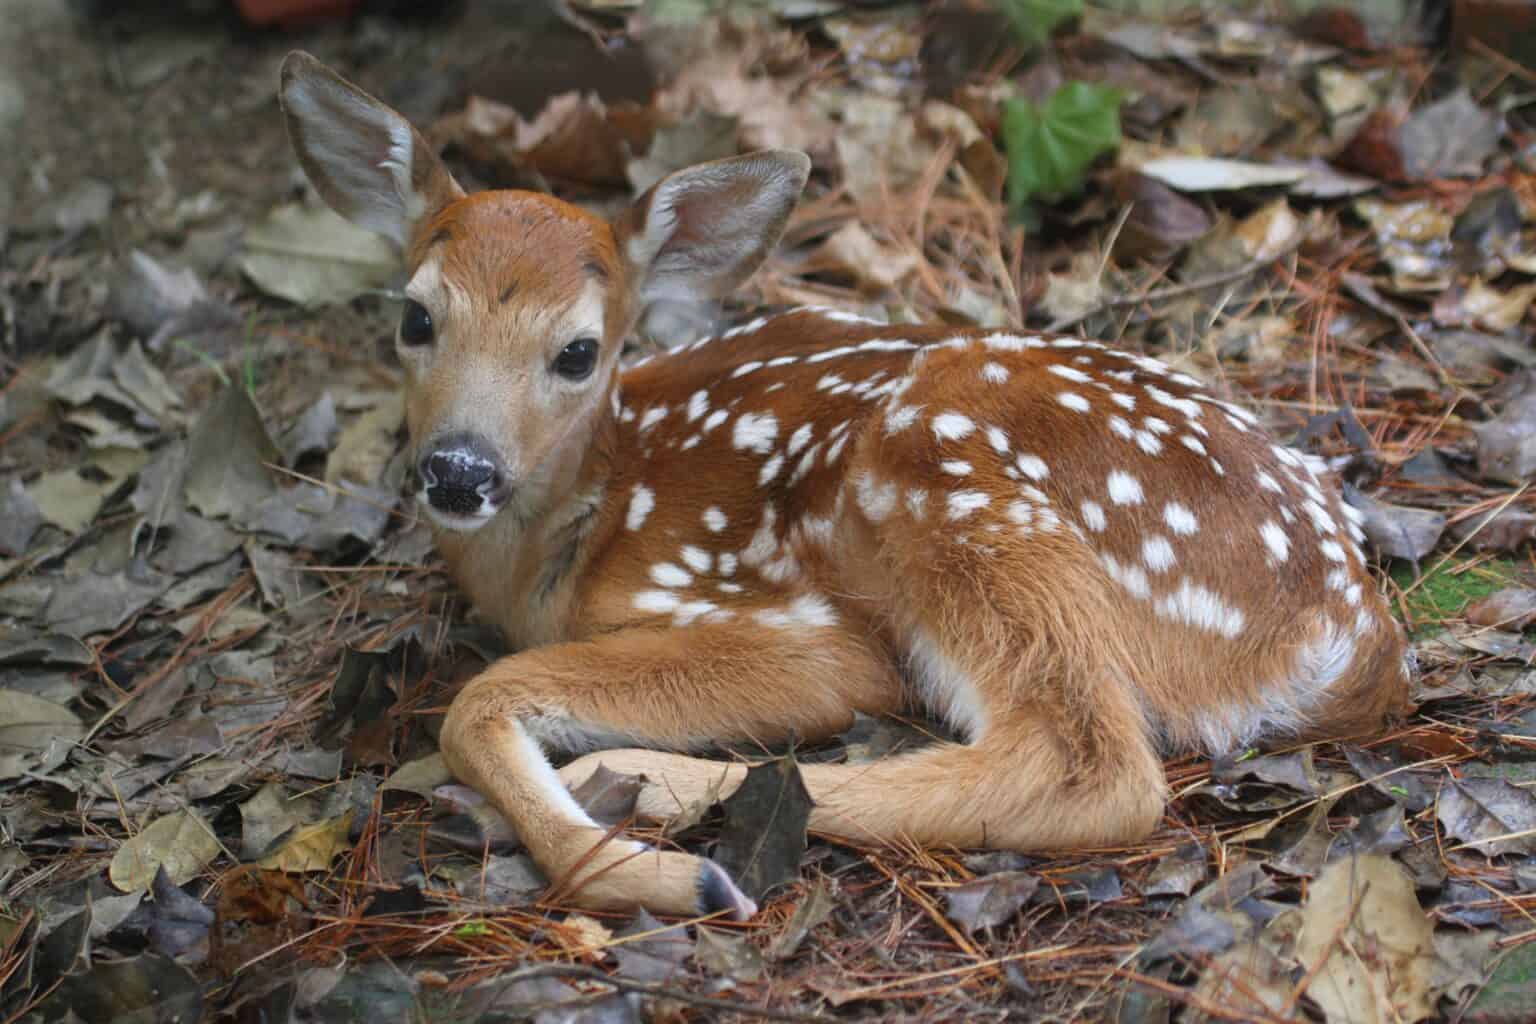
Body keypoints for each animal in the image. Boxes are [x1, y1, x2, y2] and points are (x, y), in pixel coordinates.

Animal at [279, 51, 1413, 922]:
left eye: (578, 351)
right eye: (415, 316)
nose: (459, 467)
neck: (582, 518)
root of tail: (1348, 624)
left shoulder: (786, 621)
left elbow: (475, 700)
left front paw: (651, 867)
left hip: (942, 474)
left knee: (1088, 765)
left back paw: (665, 792)